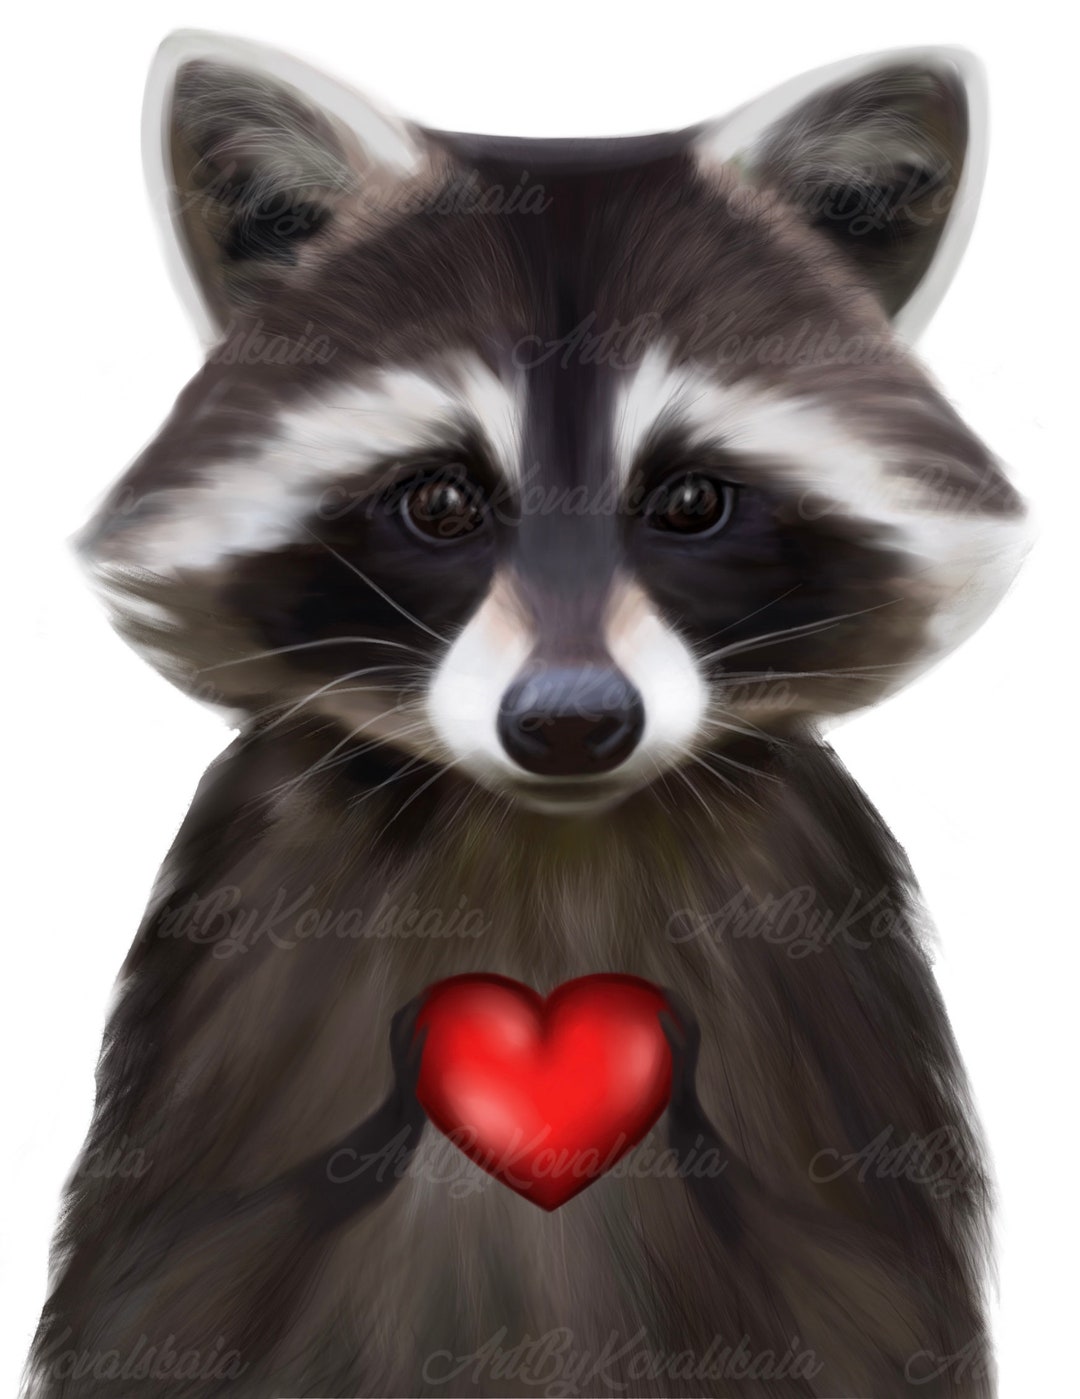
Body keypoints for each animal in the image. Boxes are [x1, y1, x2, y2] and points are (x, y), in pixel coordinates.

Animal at [26, 31, 1029, 1399]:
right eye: (442, 500)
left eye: (692, 501)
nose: (569, 722)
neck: (546, 834)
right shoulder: (238, 968)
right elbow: (183, 1274)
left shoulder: (826, 969)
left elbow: (853, 1274)